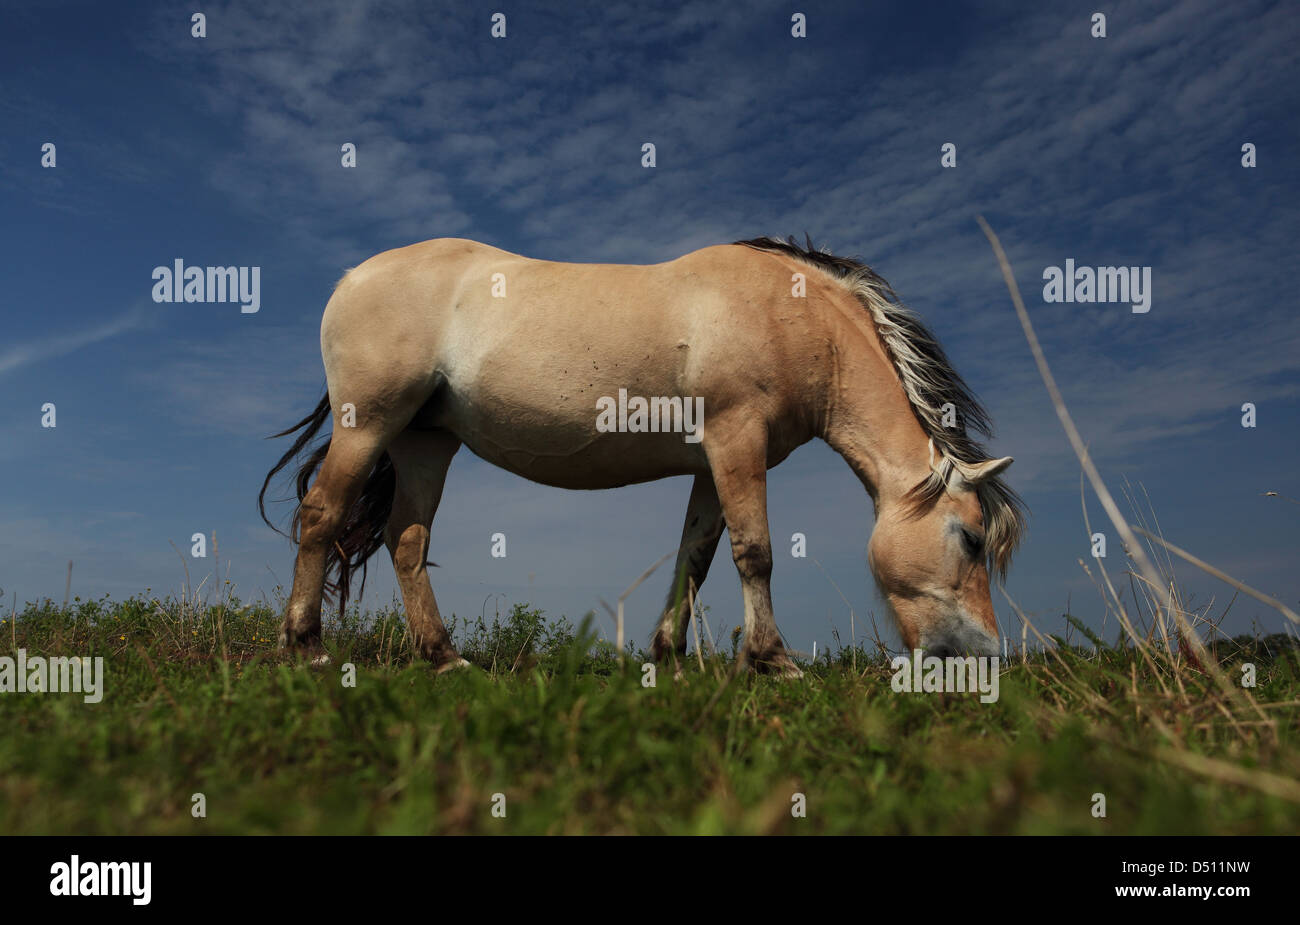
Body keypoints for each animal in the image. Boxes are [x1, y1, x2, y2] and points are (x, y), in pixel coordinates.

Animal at [259, 235, 1025, 677]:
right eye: (969, 537)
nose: (988, 656)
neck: (790, 313)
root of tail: (352, 277)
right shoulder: (737, 439)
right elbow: (755, 552)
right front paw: (774, 661)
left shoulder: (712, 464)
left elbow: (697, 558)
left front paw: (668, 658)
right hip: (369, 425)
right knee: (321, 515)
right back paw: (306, 645)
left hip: (425, 442)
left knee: (406, 540)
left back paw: (445, 658)